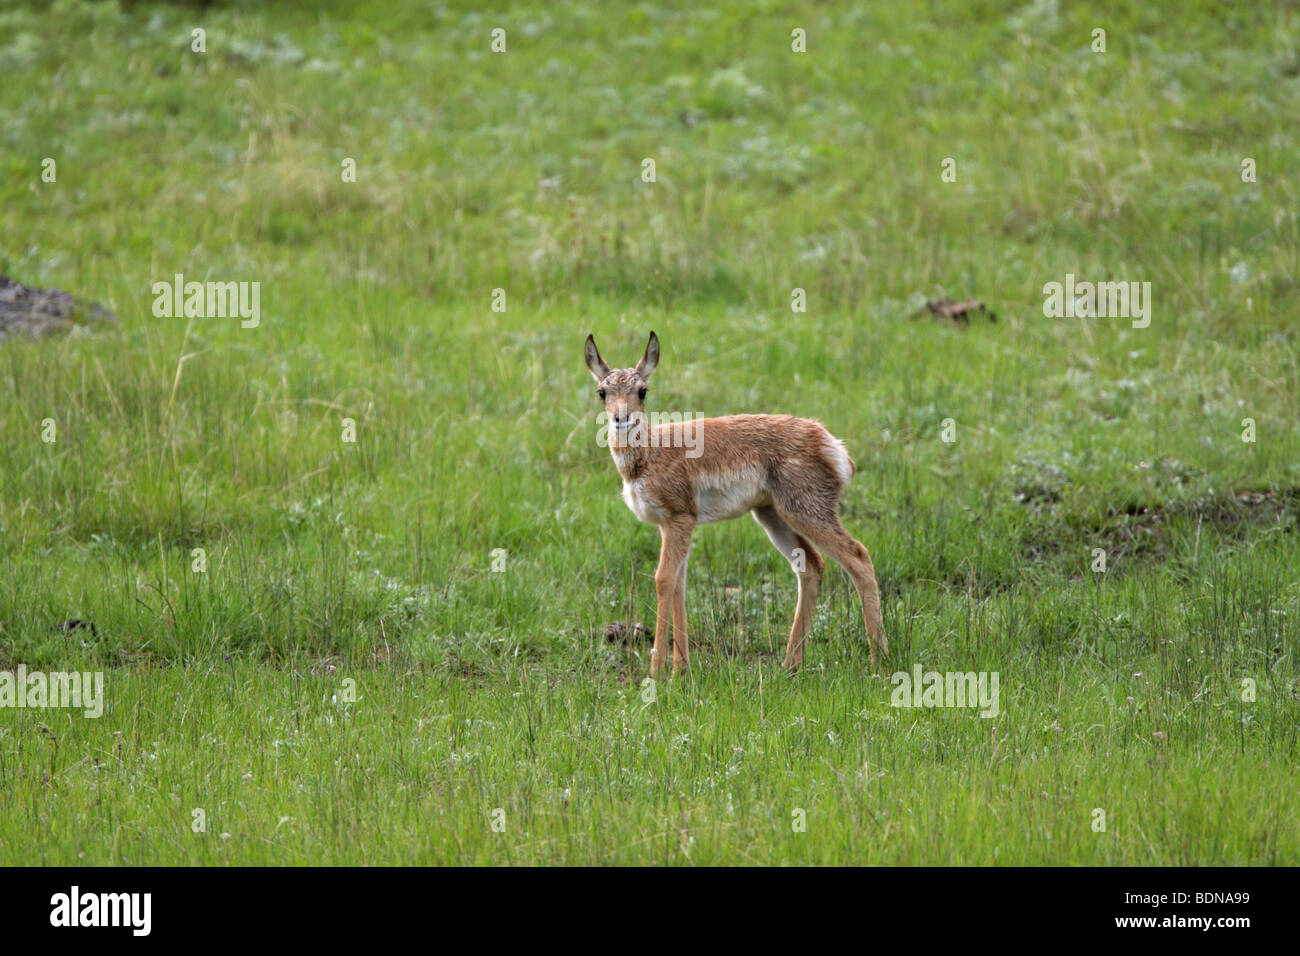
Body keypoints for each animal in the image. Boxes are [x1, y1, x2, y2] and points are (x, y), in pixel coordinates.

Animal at [585, 330, 887, 678]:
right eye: (602, 392)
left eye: (642, 390)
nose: (620, 418)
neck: (651, 452)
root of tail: (830, 443)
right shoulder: (671, 525)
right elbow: (679, 585)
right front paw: (680, 670)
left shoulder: (679, 519)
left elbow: (663, 580)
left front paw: (657, 672)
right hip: (772, 516)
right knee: (812, 565)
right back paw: (789, 665)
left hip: (806, 514)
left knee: (858, 556)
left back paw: (878, 659)